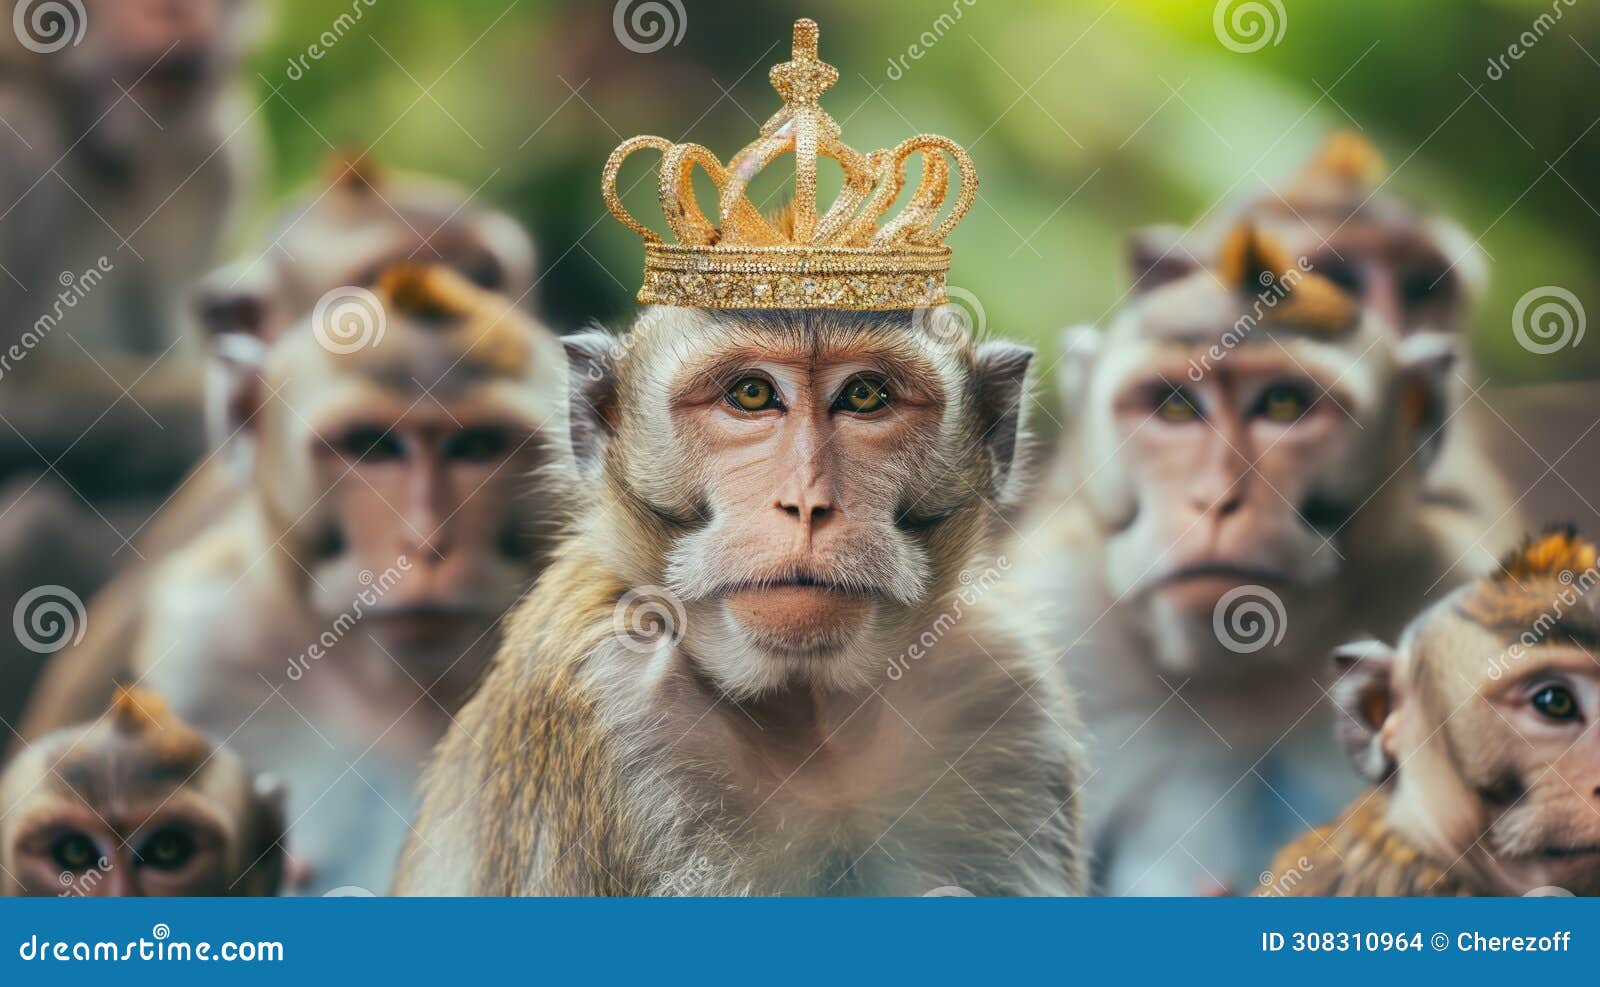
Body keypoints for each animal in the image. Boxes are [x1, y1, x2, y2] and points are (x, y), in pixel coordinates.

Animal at [393, 304, 1087, 897]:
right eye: (750, 394)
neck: (809, 717)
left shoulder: (1000, 686)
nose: (806, 503)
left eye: (866, 395)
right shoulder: (603, 689)